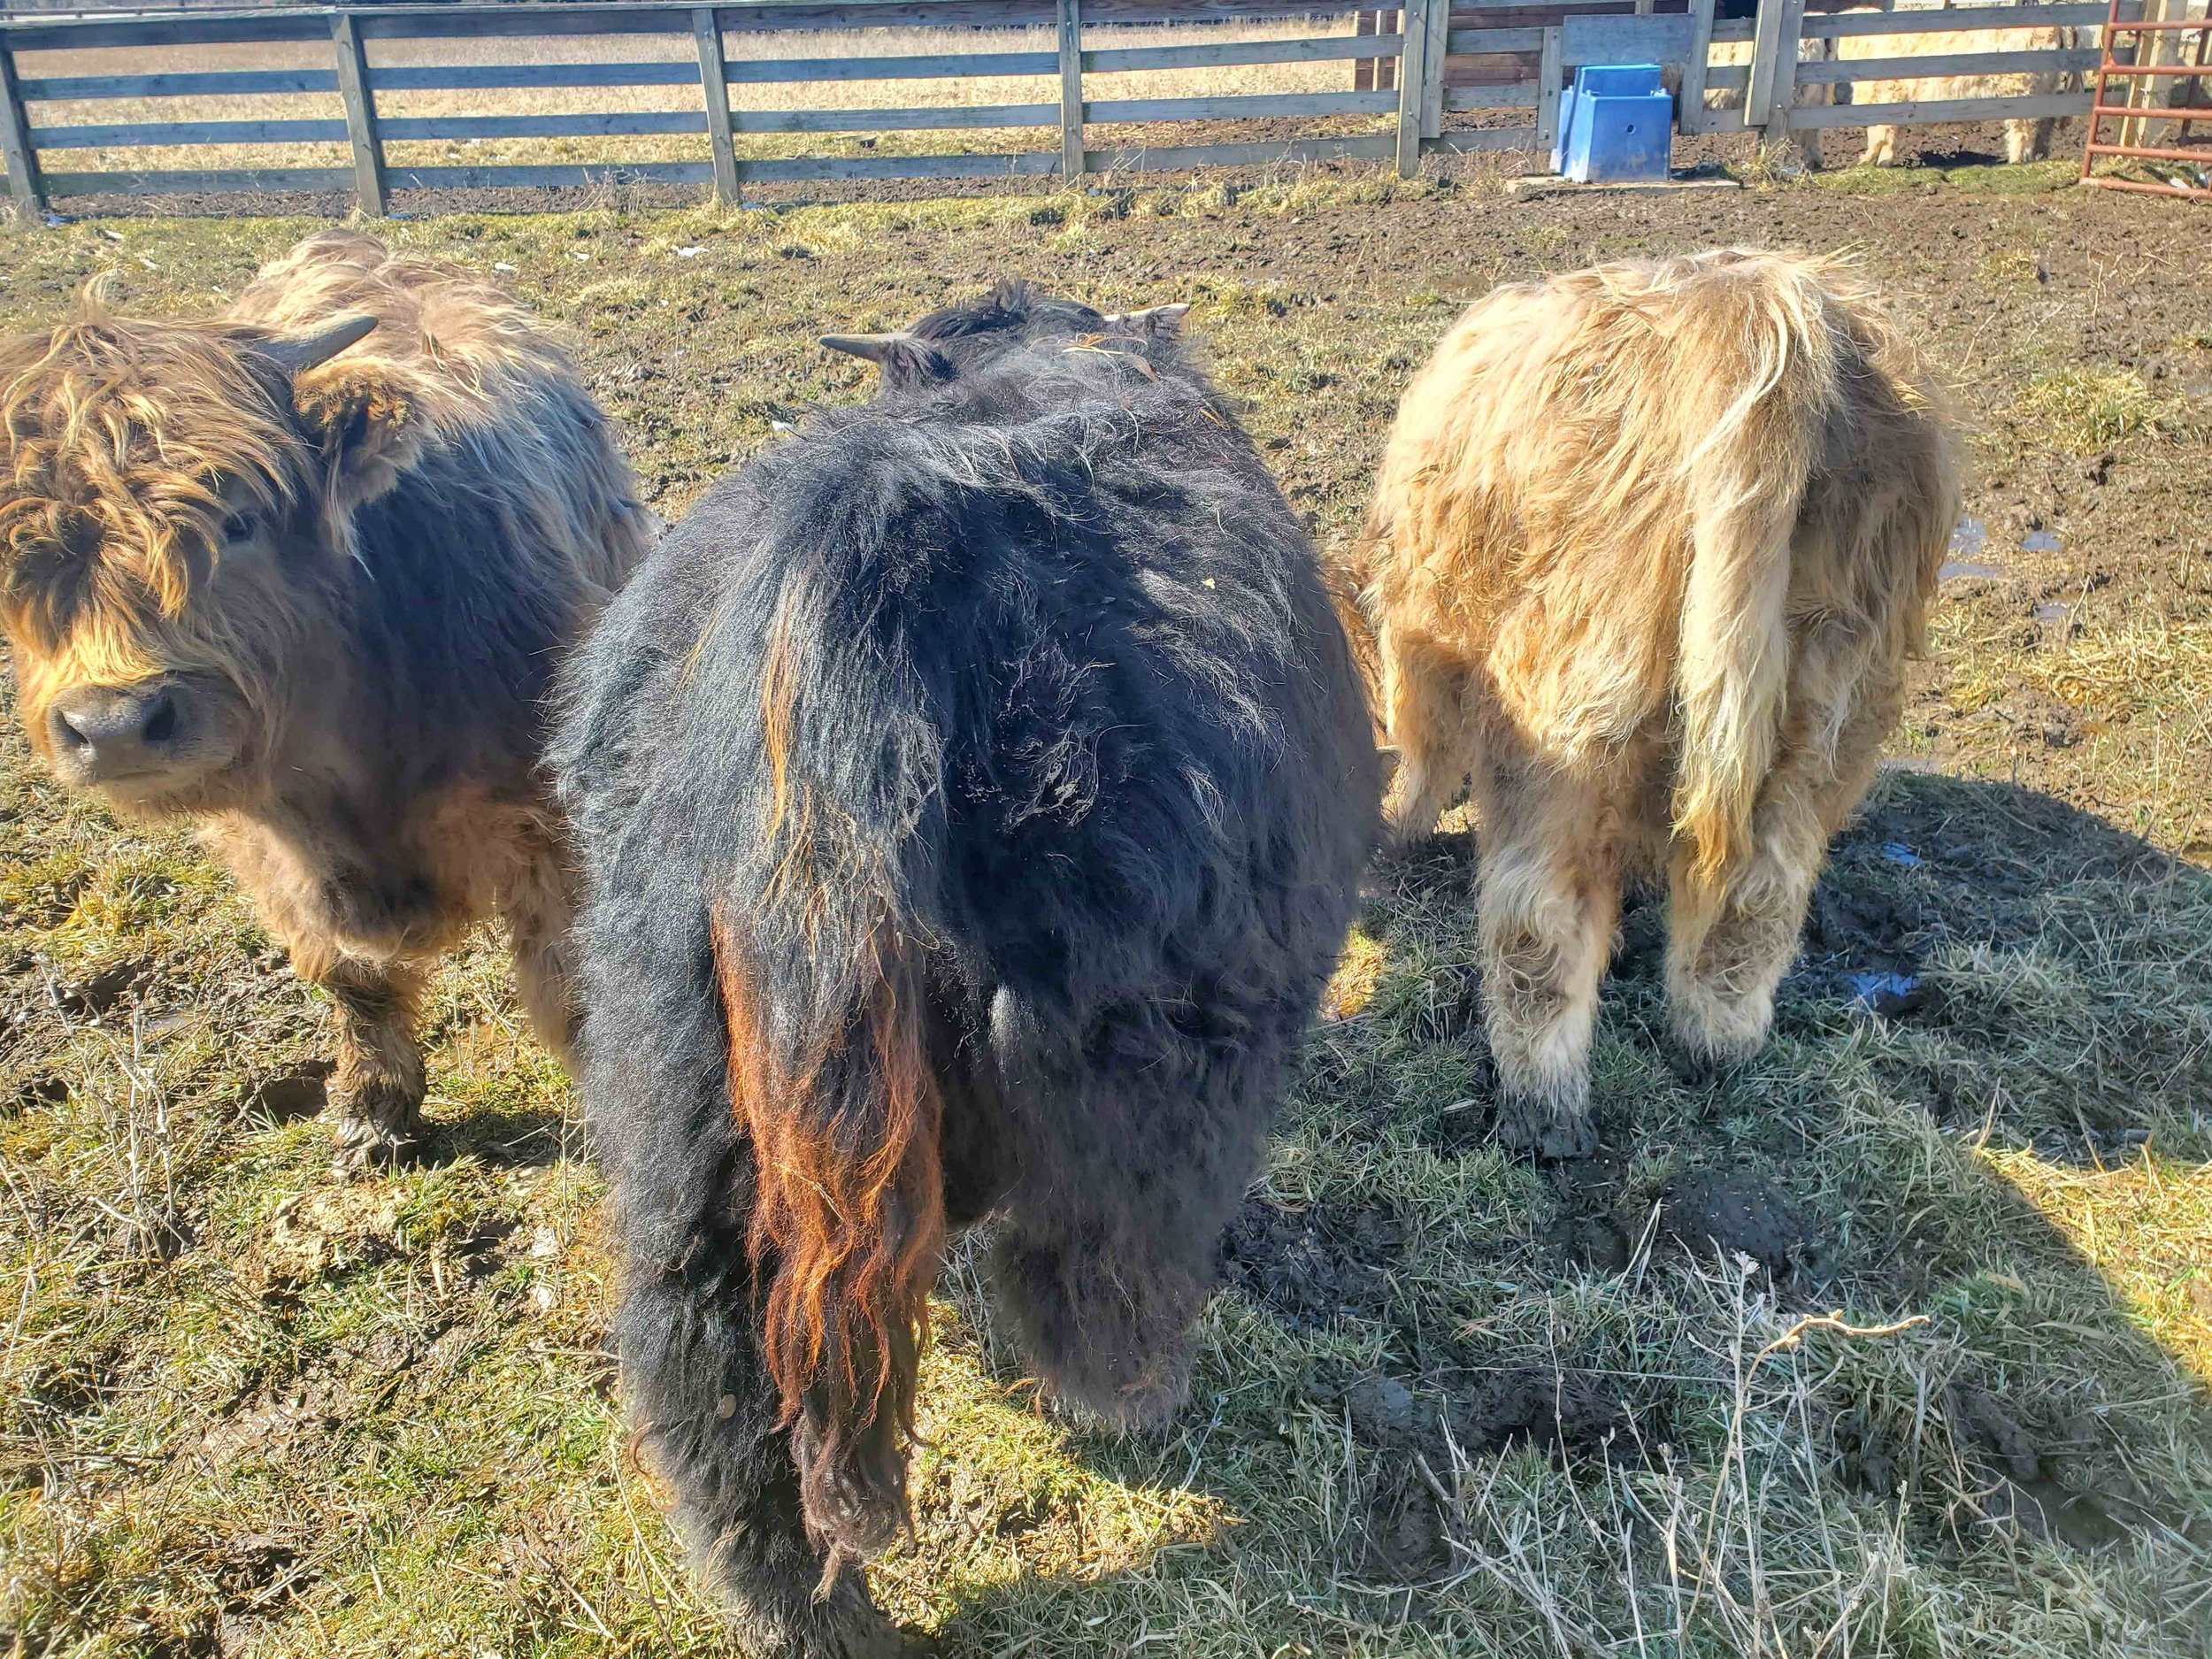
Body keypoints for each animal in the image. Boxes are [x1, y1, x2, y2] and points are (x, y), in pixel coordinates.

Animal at [0, 231, 655, 1164]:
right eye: (12, 552)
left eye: (237, 519)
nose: (115, 725)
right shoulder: (270, 851)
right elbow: (350, 975)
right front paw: (373, 1109)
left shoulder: (546, 825)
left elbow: (573, 987)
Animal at [553, 281, 1377, 1654]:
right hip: (1144, 1050)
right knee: (1102, 1251)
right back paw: (1129, 1393)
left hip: (685, 1097)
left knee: (700, 1356)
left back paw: (807, 1613)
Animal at [1358, 250, 1957, 1158]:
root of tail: (1765, 318)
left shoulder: (1423, 629)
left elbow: (1423, 747)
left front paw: (1392, 832)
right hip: (1840, 688)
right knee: (1761, 885)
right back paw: (1716, 1049)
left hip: (1566, 696)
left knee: (1537, 906)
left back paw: (1543, 1112)